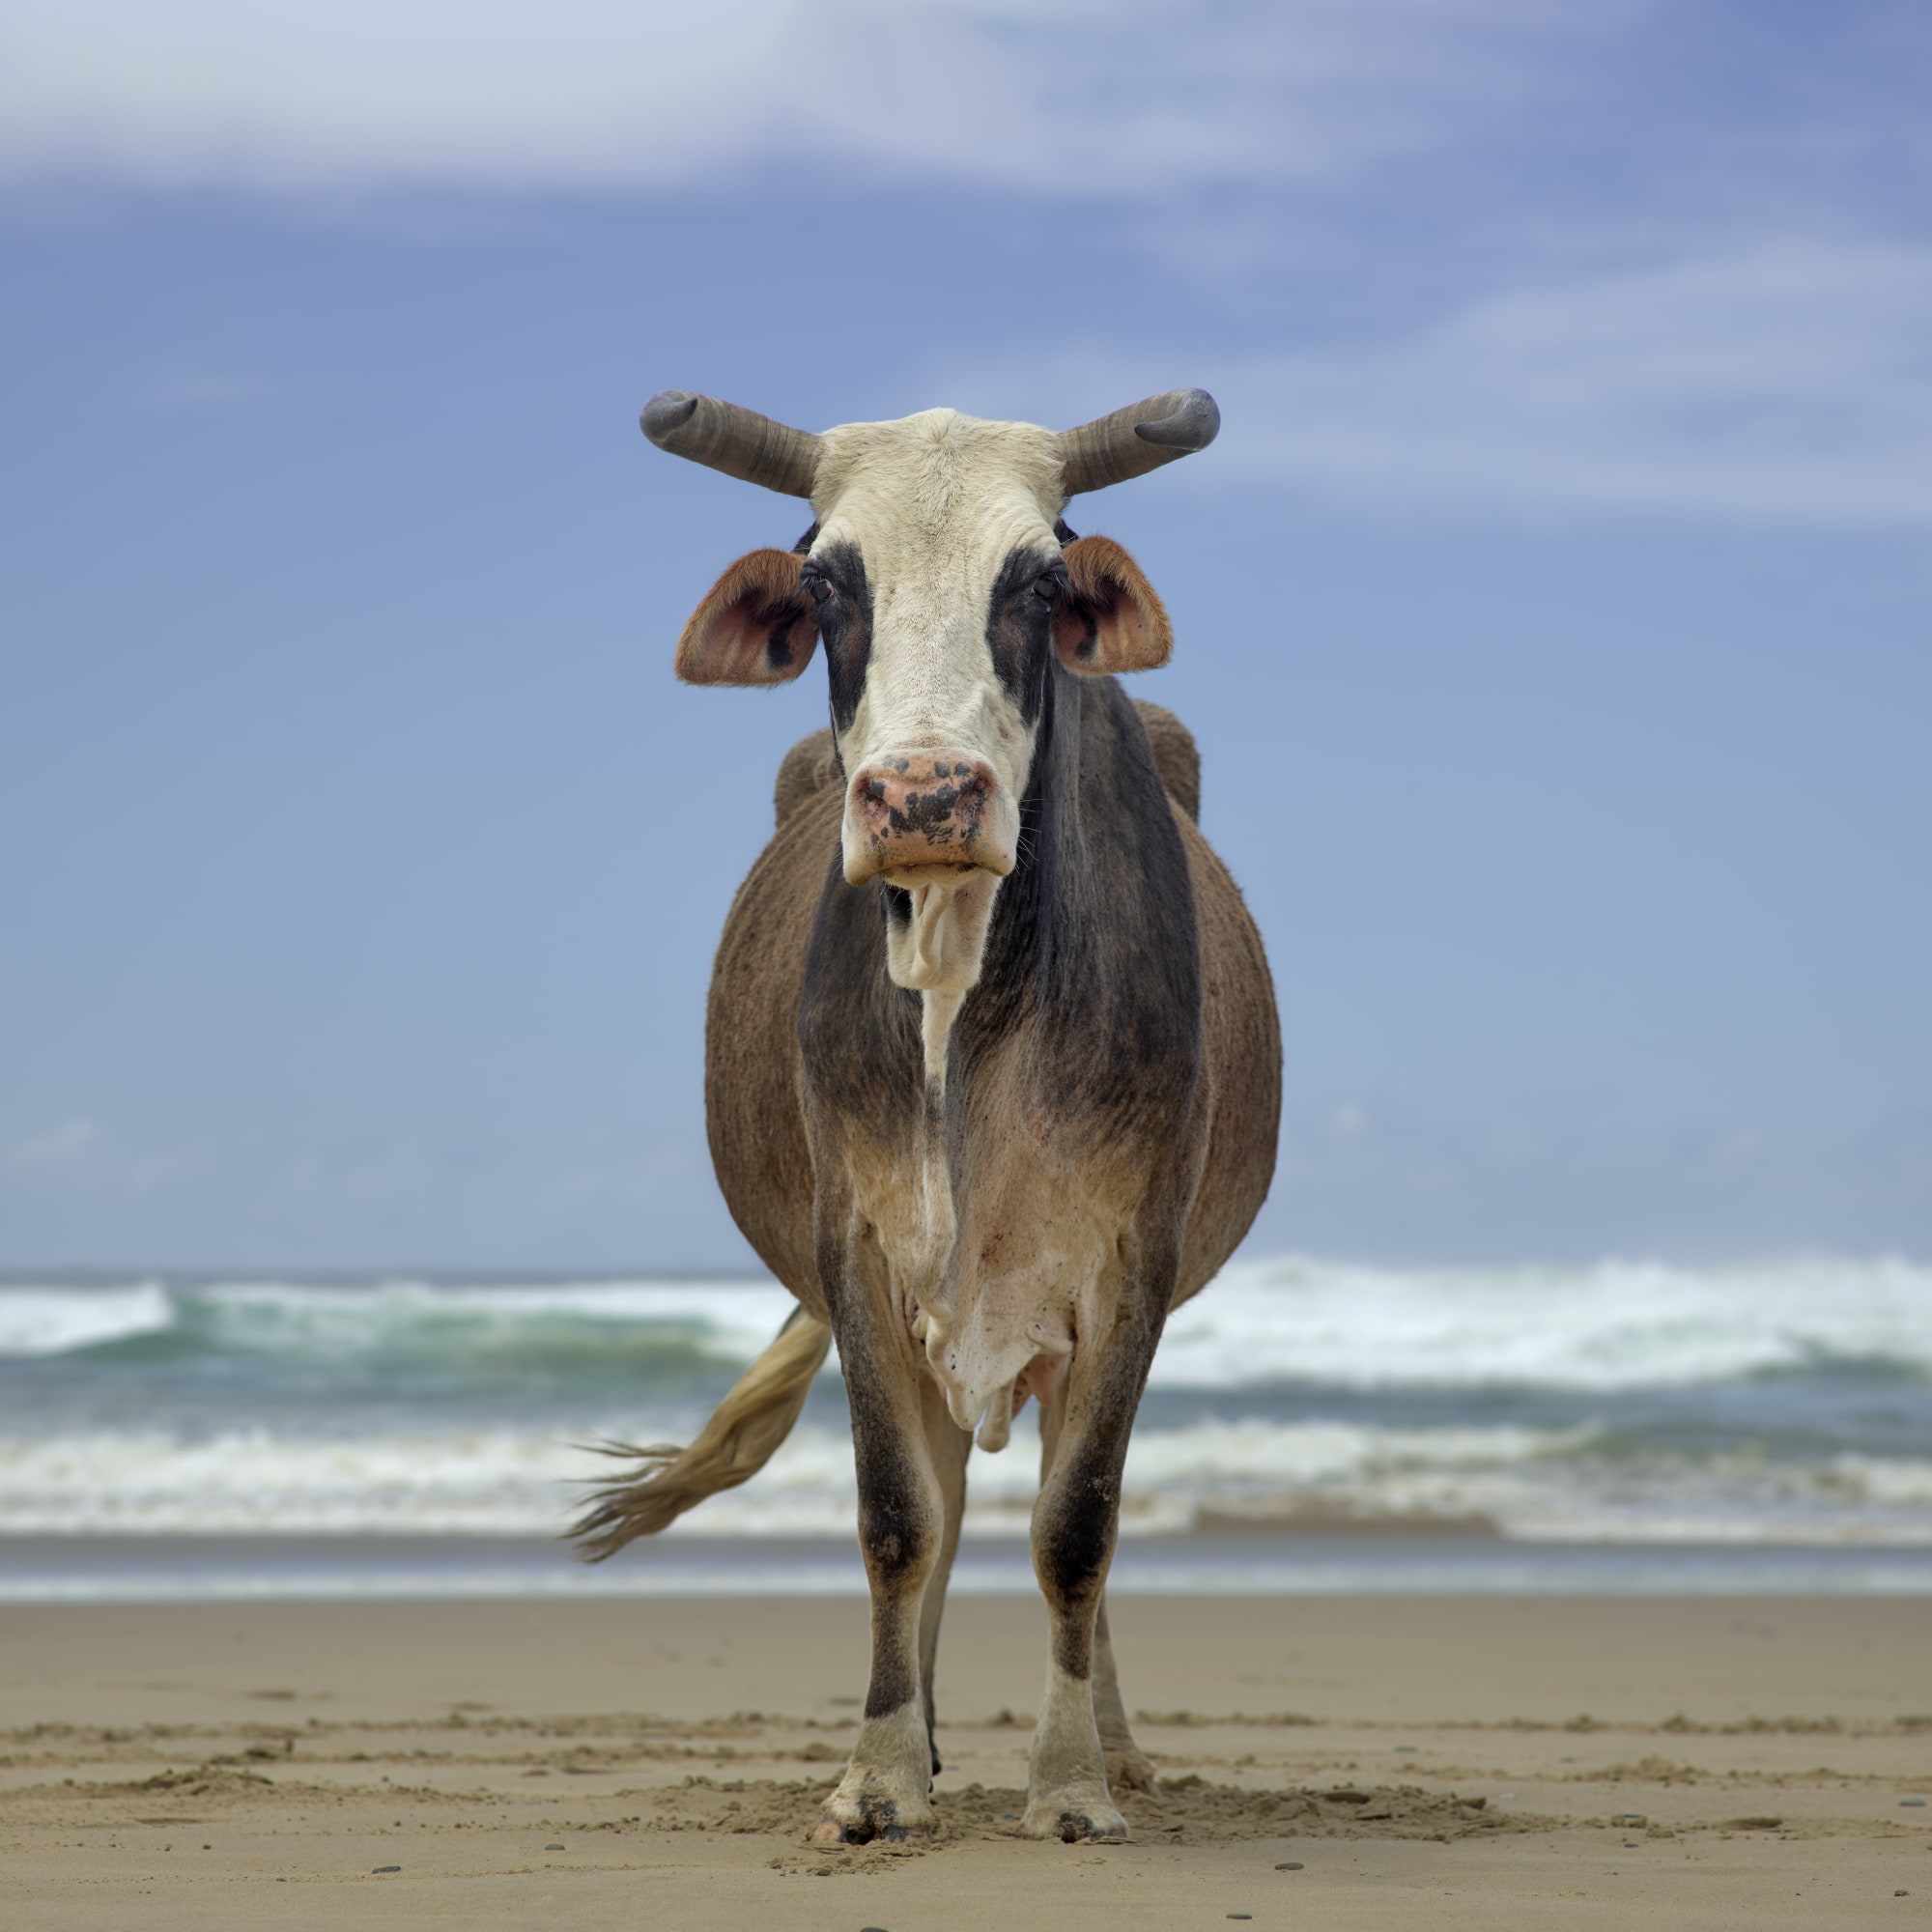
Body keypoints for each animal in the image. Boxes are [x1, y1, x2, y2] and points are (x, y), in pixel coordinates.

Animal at [576, 389, 1280, 1847]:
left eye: (1043, 580)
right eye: (826, 583)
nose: (921, 797)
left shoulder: (1129, 1268)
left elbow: (1078, 1525)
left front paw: (1069, 1781)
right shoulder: (859, 1251)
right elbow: (899, 1516)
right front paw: (879, 1775)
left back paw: (1110, 1746)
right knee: (945, 1505)